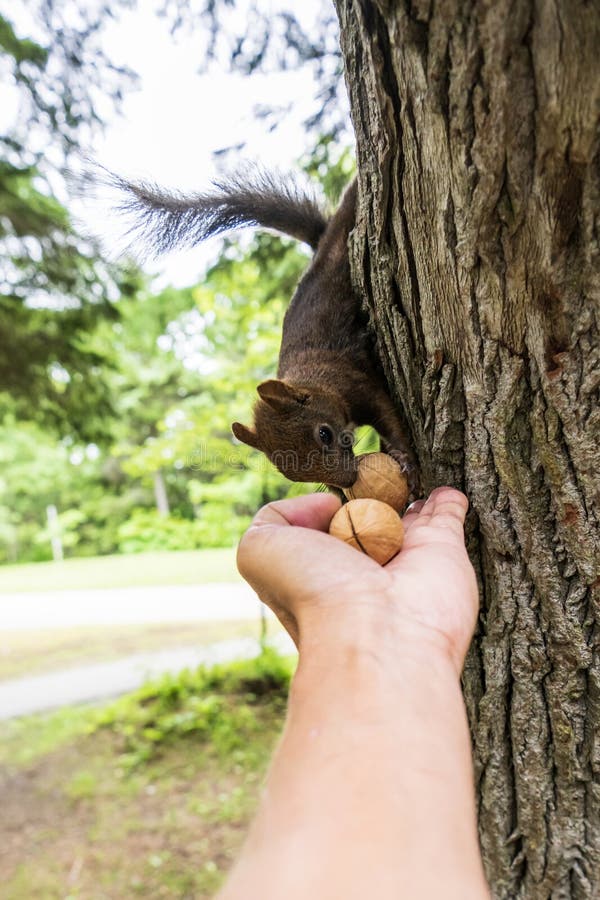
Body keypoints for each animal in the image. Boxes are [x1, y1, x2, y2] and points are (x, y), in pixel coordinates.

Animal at [111, 169, 417, 492]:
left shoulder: (356, 384)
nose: (348, 479)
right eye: (290, 473)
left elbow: (388, 416)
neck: (318, 384)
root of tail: (323, 243)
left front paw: (407, 460)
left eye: (324, 434)